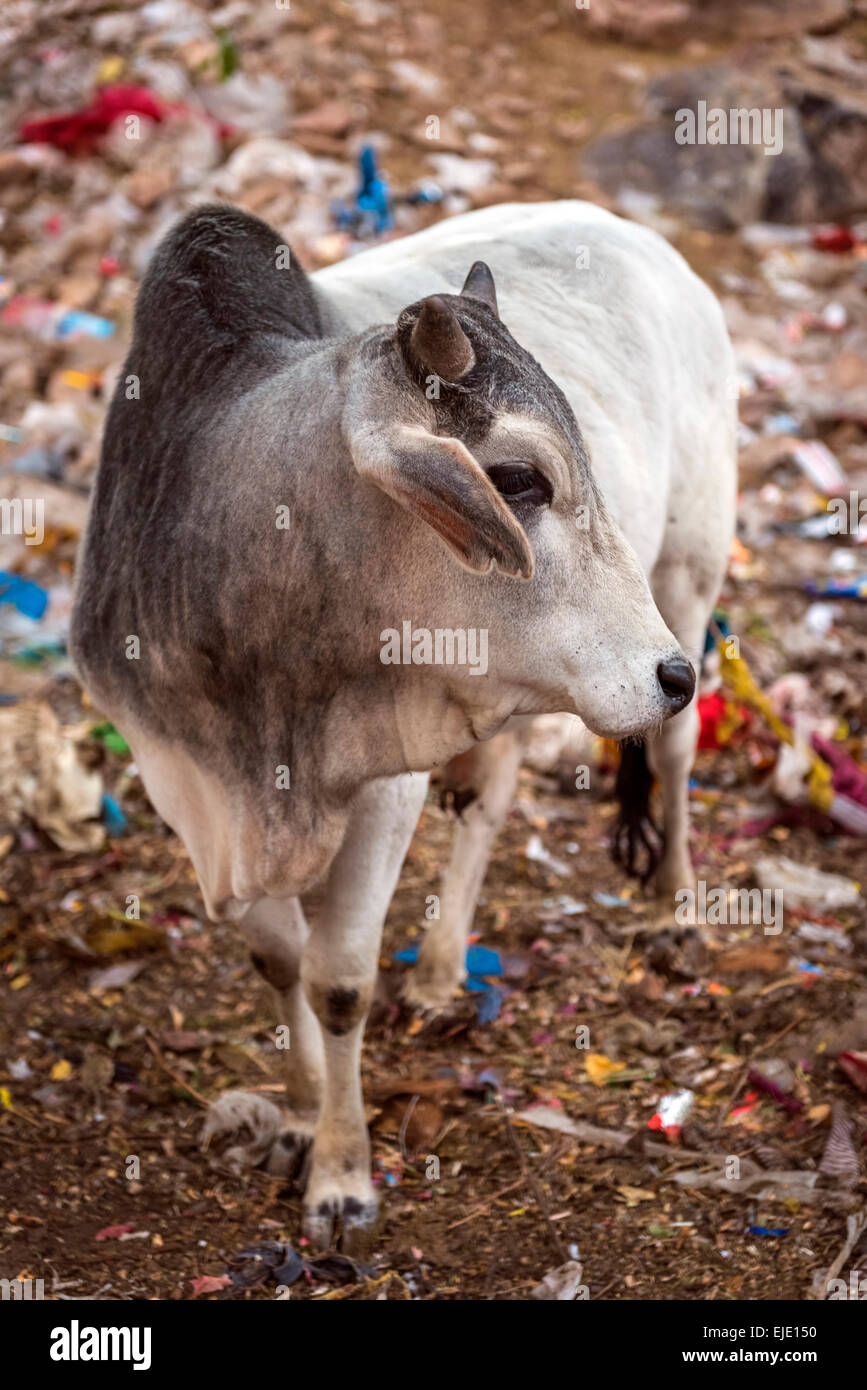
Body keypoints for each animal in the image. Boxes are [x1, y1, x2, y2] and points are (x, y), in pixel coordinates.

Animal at [70, 199, 735, 1250]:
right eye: (518, 478)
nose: (665, 672)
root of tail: (635, 232)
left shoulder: (383, 787)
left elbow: (337, 980)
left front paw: (343, 1178)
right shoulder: (182, 788)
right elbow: (277, 957)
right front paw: (301, 1119)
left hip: (690, 568)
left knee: (670, 756)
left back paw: (674, 907)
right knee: (488, 798)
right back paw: (439, 970)